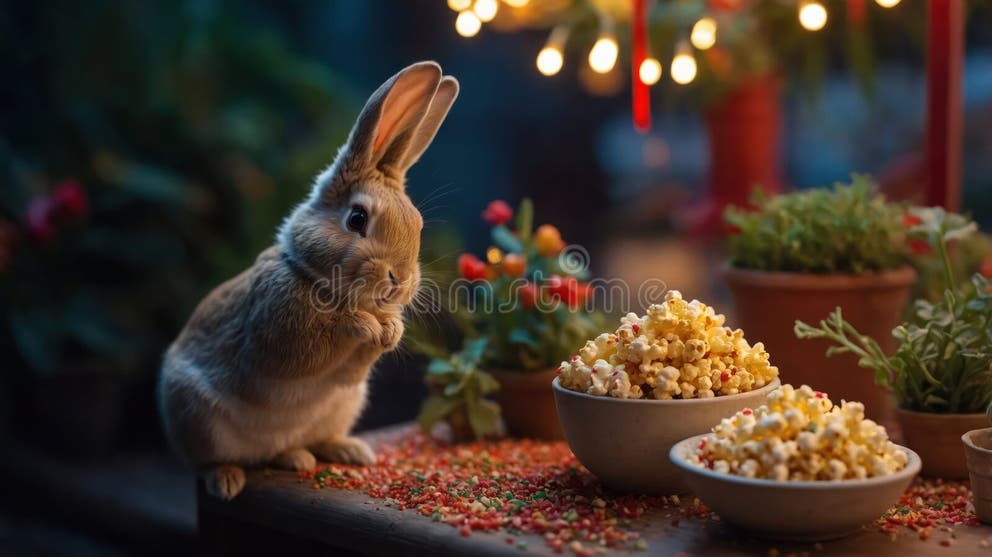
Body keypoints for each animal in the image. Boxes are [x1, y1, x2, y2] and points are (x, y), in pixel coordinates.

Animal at [157, 61, 459, 500]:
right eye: (357, 218)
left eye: (417, 225)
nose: (399, 280)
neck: (315, 278)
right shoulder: (277, 329)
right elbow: (311, 348)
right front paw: (365, 325)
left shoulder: (351, 376)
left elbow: (353, 365)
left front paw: (391, 330)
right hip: (197, 417)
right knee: (209, 460)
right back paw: (228, 480)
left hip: (343, 406)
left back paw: (342, 452)